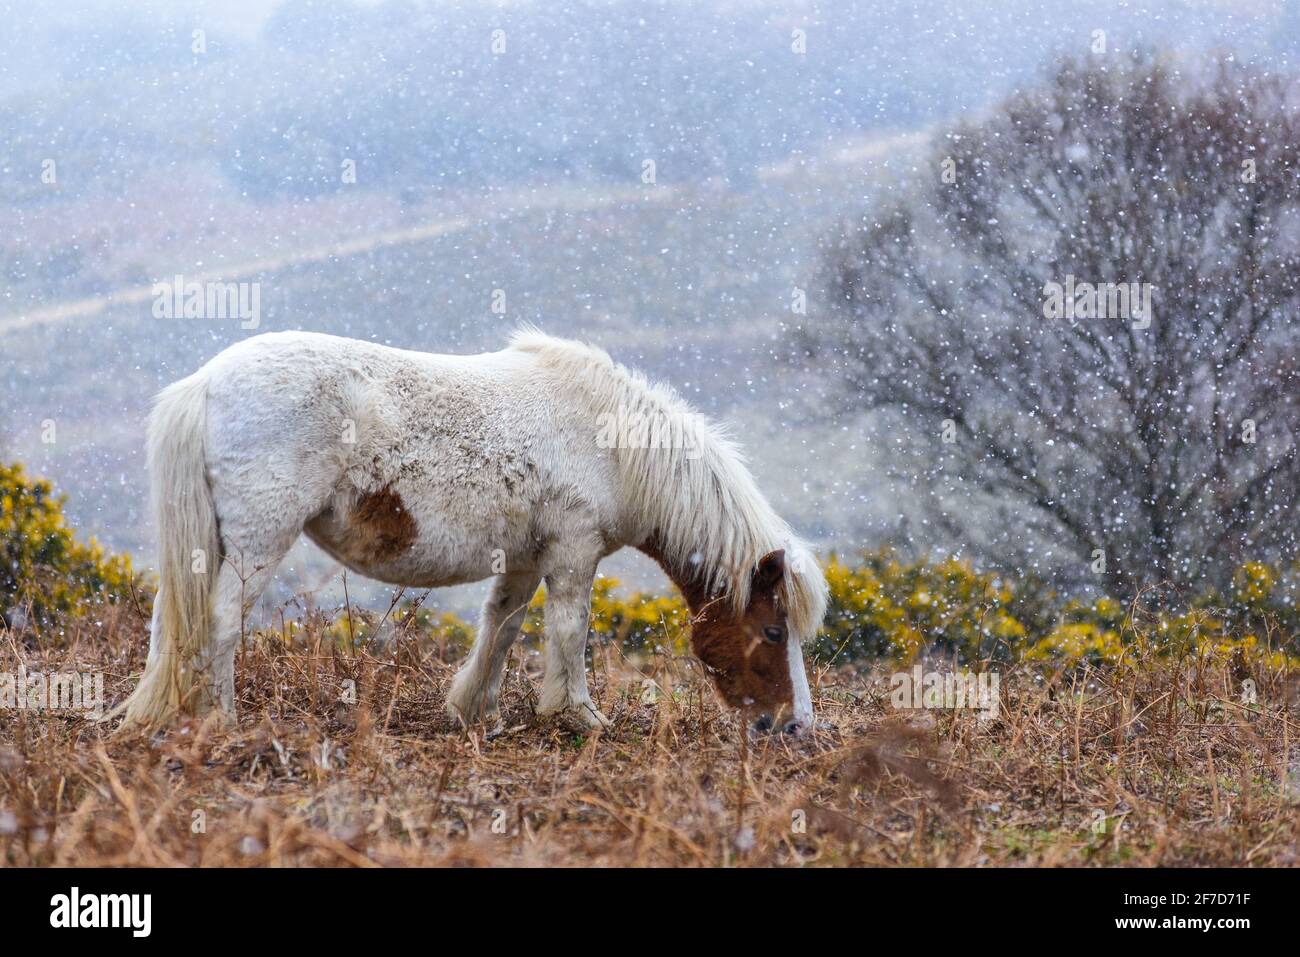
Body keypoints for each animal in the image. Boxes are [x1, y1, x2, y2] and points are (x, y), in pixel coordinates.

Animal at [118, 328, 828, 736]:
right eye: (773, 632)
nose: (795, 728)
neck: (612, 443)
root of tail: (205, 384)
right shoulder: (573, 551)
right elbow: (568, 632)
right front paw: (578, 717)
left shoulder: (525, 559)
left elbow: (502, 627)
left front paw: (472, 712)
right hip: (258, 541)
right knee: (220, 623)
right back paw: (220, 720)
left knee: (167, 622)